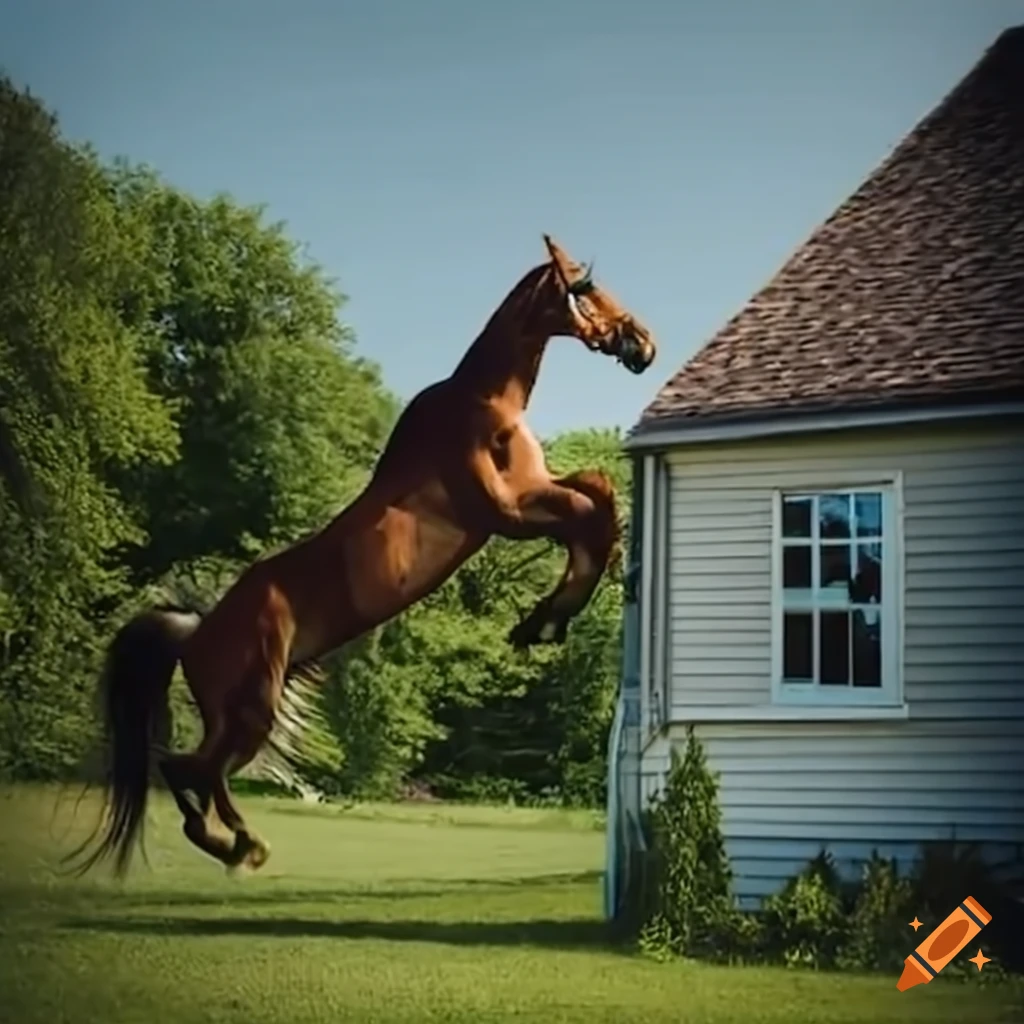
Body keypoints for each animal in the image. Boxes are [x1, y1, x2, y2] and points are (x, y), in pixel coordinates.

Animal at [67, 234, 657, 878]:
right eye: (585, 284)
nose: (643, 343)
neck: (482, 401)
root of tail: (195, 632)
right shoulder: (504, 511)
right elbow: (588, 510)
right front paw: (547, 617)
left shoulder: (531, 492)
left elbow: (596, 494)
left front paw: (549, 616)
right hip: (252, 709)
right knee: (191, 770)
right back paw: (244, 847)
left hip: (241, 713)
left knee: (194, 773)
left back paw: (235, 845)